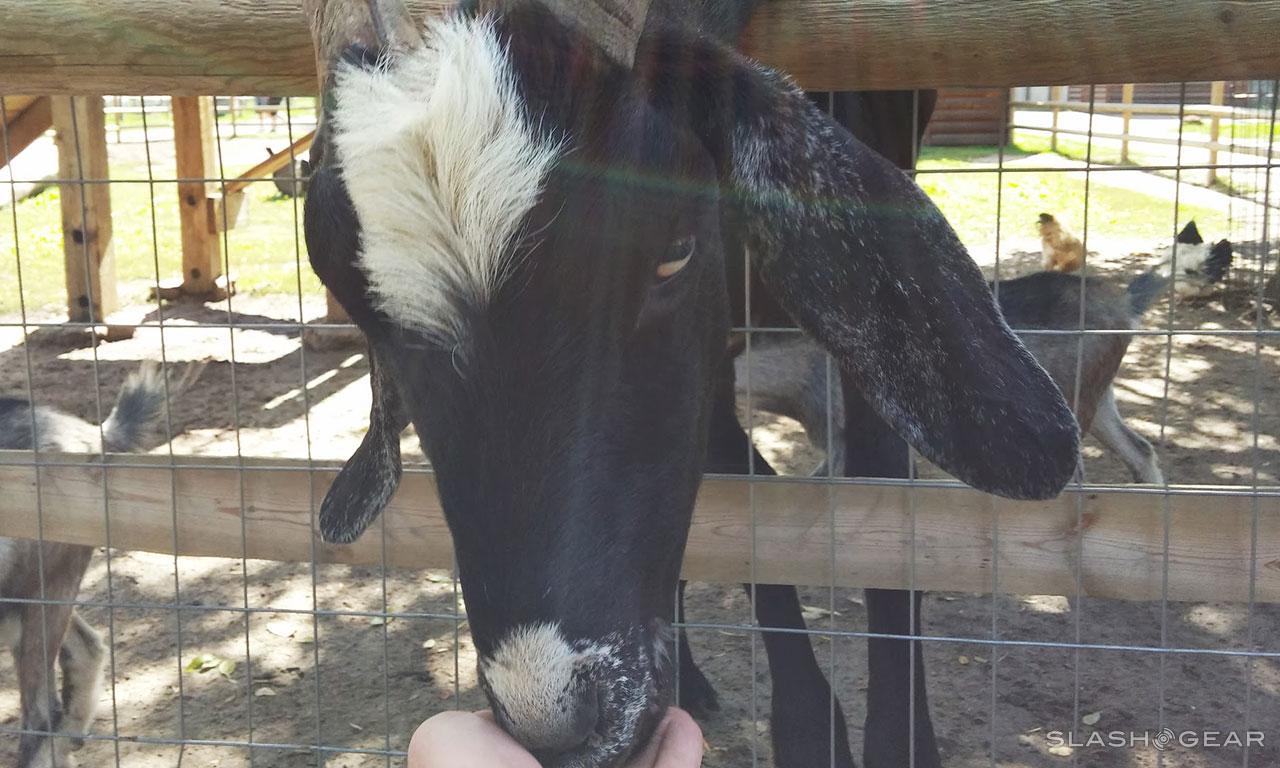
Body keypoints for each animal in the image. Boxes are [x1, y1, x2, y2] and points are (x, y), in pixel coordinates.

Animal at [301, 2, 1080, 766]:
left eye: (672, 253)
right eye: (366, 313)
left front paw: (898, 740)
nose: (557, 723)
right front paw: (804, 727)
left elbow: (885, 501)